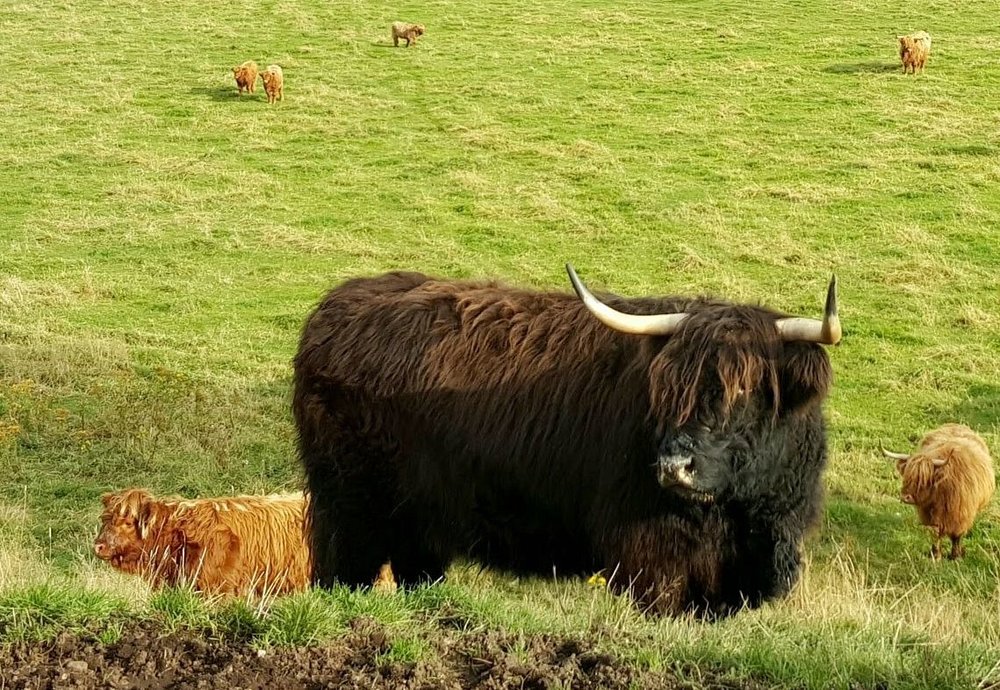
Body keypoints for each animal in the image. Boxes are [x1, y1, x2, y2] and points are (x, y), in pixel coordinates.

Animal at [292, 265, 841, 616]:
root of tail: (334, 308)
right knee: (345, 574)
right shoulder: (652, 564)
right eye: (667, 389)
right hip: (350, 513)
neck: (741, 518)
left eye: (744, 389)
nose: (673, 466)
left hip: (419, 521)